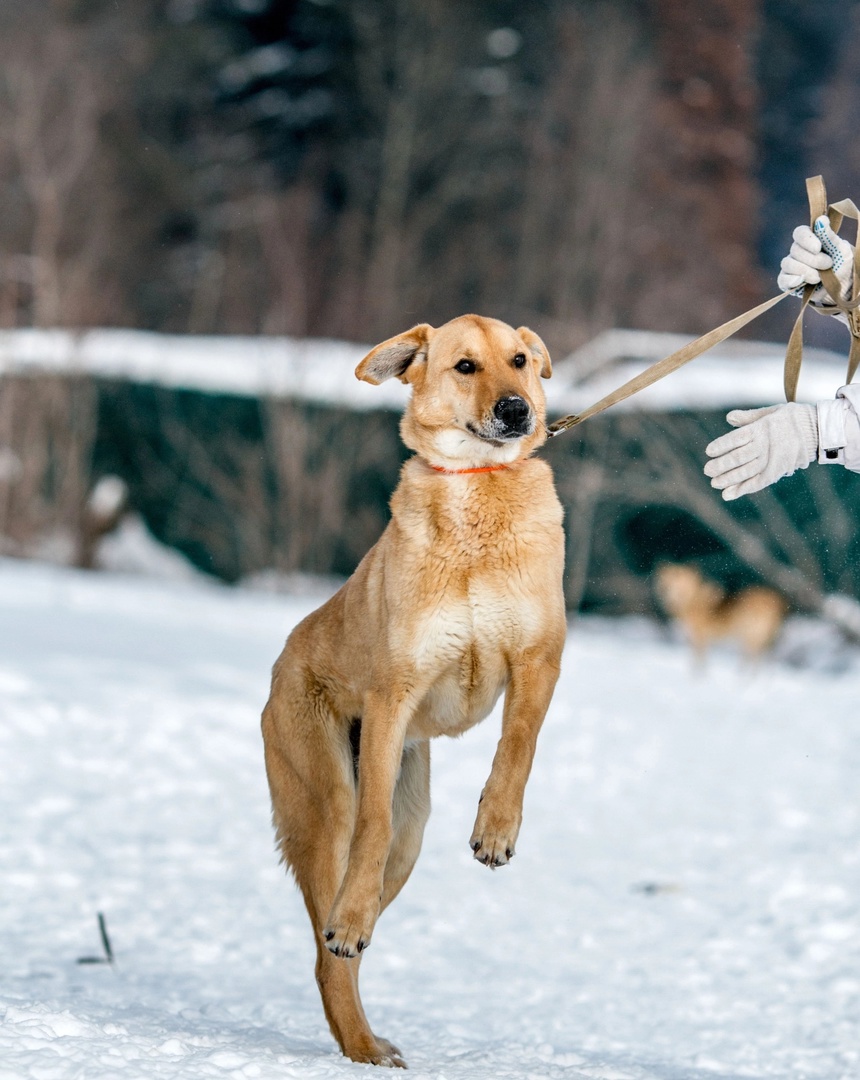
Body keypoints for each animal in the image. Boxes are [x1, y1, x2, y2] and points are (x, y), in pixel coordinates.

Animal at [263, 315, 570, 1071]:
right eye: (465, 366)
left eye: (520, 361)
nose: (516, 409)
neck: (478, 487)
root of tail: (282, 660)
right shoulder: (393, 695)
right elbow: (370, 824)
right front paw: (349, 921)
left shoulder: (539, 661)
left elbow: (517, 745)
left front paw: (496, 829)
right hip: (327, 803)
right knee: (332, 942)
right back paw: (358, 1021)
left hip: (412, 834)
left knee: (354, 930)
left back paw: (364, 1034)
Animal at [656, 565, 786, 665]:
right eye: (667, 586)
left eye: (681, 586)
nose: (670, 600)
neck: (691, 600)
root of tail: (775, 598)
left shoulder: (700, 637)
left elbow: (698, 663)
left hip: (750, 635)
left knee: (753, 660)